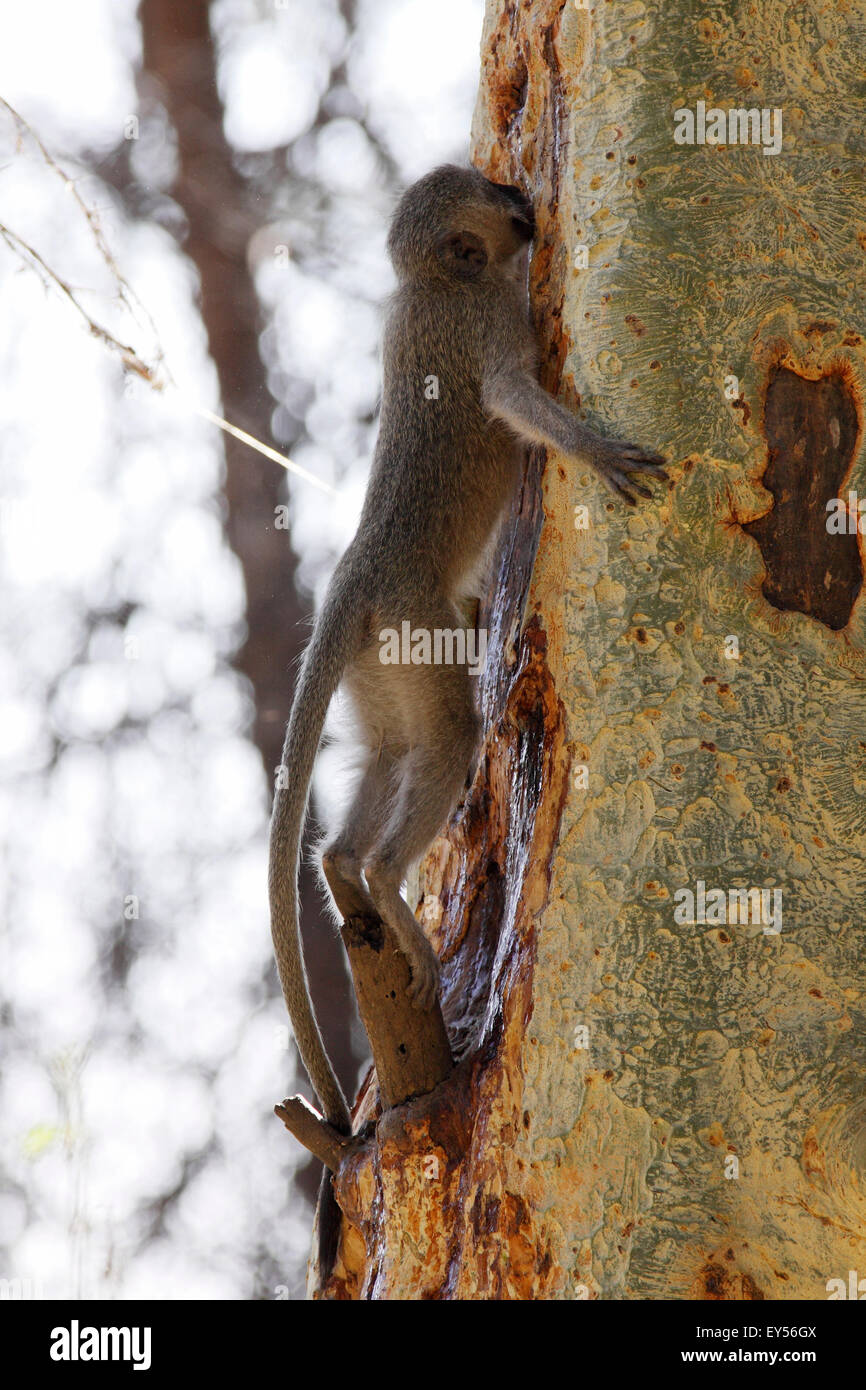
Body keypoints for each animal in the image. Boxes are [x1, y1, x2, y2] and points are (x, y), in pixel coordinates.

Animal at [268, 163, 666, 1146]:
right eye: (493, 198)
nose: (523, 198)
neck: (435, 284)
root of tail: (356, 576)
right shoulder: (493, 319)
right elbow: (514, 398)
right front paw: (594, 449)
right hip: (416, 626)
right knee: (450, 736)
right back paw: (379, 878)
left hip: (381, 657)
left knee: (396, 748)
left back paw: (342, 866)